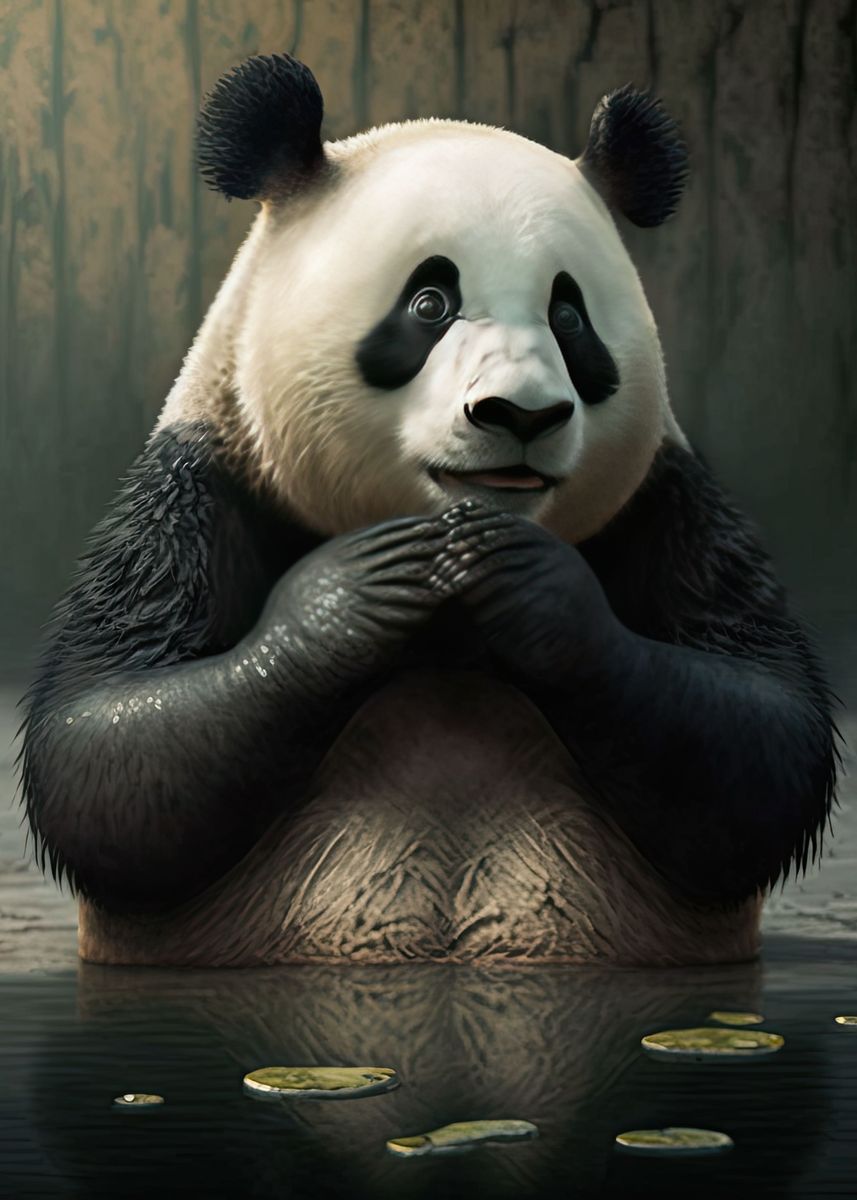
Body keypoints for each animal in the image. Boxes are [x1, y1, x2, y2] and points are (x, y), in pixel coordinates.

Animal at [20, 52, 836, 968]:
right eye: (428, 304)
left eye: (568, 315)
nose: (519, 415)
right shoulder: (202, 486)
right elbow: (107, 750)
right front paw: (361, 590)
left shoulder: (668, 506)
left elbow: (757, 739)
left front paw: (527, 584)